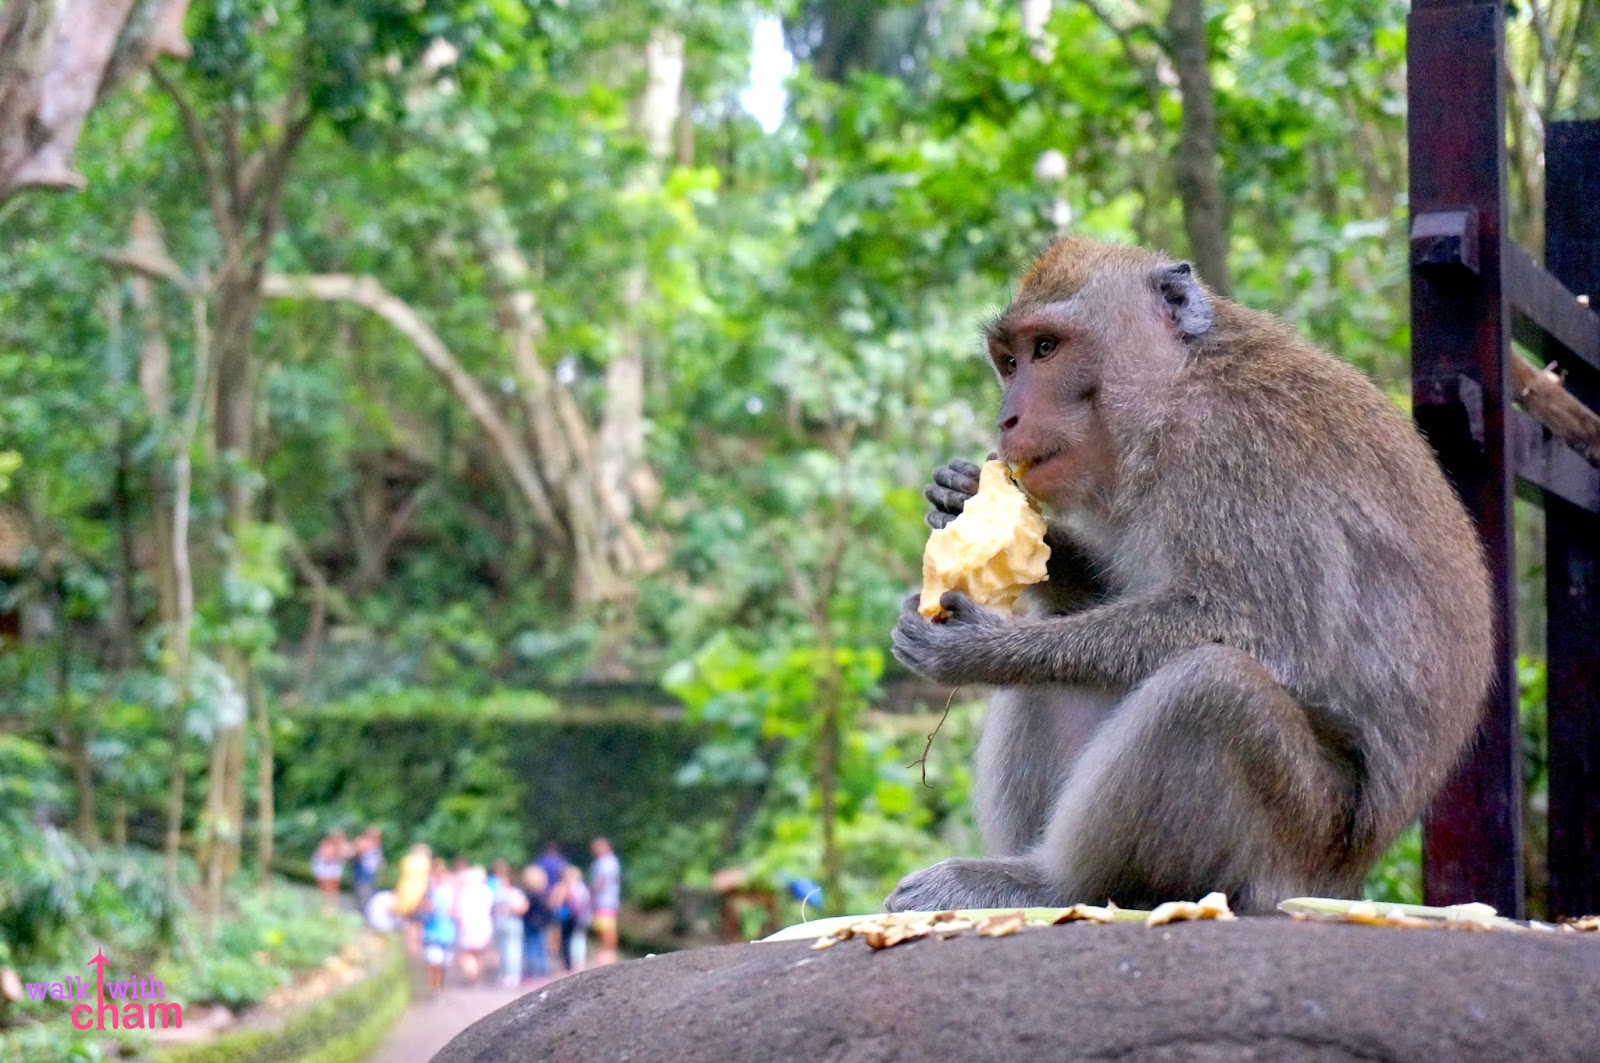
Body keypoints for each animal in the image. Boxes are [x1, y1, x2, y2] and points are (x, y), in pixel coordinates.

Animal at [887, 237, 1493, 915]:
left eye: (1045, 349)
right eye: (1009, 361)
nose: (1008, 420)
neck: (1178, 384)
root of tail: (1345, 879)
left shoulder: (1230, 446)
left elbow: (1258, 626)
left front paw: (981, 649)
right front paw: (962, 496)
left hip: (1299, 837)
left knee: (1215, 690)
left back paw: (1050, 885)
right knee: (1055, 683)